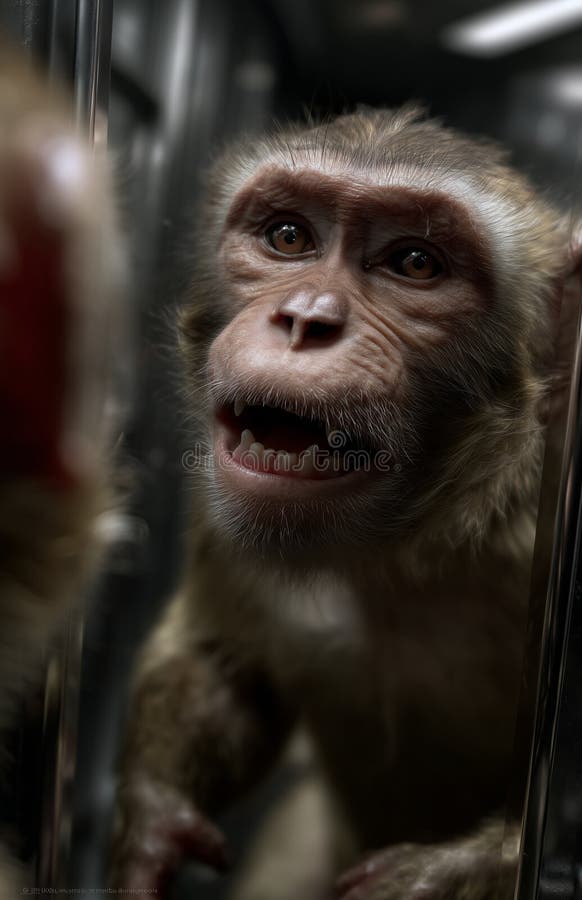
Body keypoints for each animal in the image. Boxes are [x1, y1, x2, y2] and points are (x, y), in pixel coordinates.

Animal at [111, 106, 580, 900]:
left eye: (416, 263)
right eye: (288, 237)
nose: (305, 318)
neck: (416, 537)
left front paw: (429, 880)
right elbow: (228, 663)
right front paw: (152, 820)